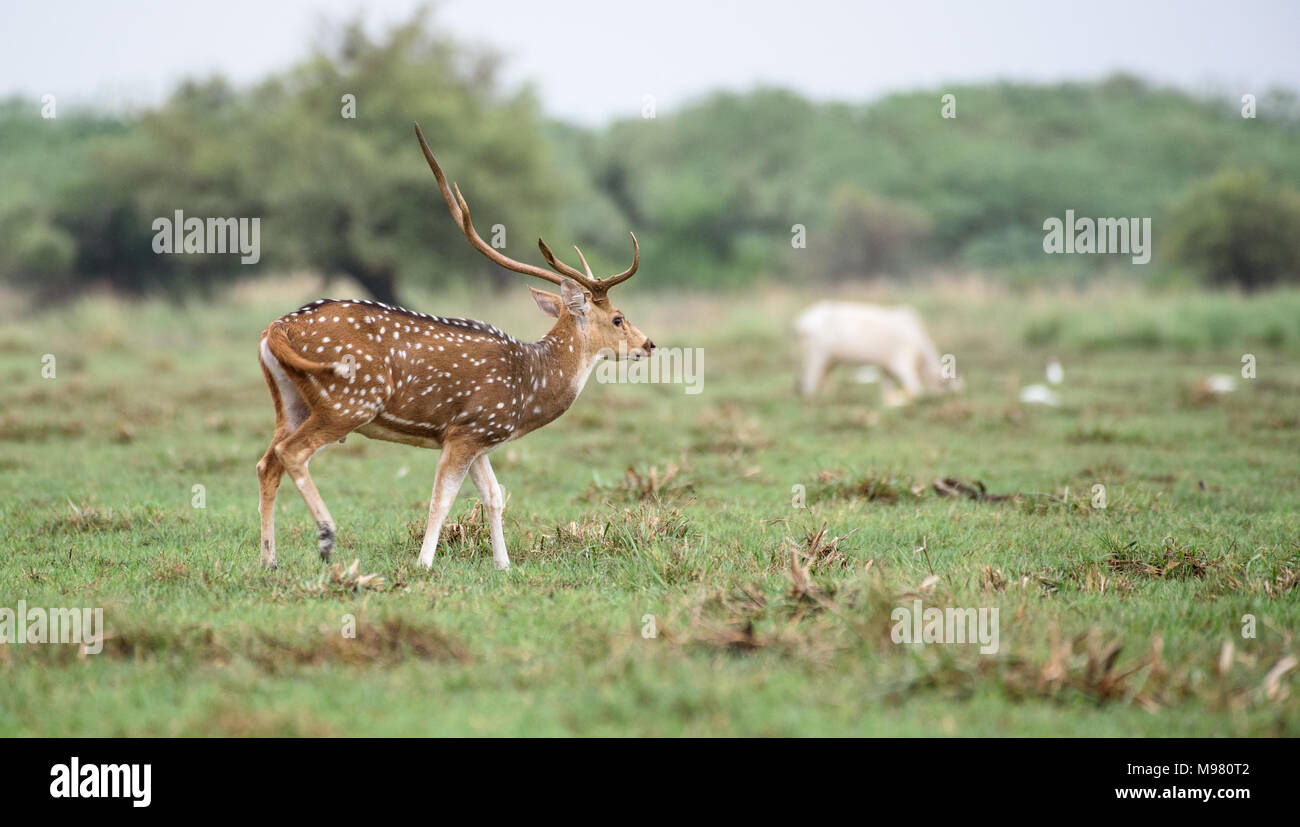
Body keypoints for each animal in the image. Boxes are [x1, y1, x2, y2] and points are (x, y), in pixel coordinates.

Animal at [255, 123, 654, 571]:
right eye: (618, 318)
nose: (649, 344)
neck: (529, 389)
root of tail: (277, 328)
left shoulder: (480, 435)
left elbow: (494, 496)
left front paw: (504, 565)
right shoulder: (467, 430)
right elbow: (442, 499)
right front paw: (424, 564)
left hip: (291, 401)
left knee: (267, 462)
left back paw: (268, 561)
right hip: (348, 401)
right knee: (291, 453)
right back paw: (326, 538)